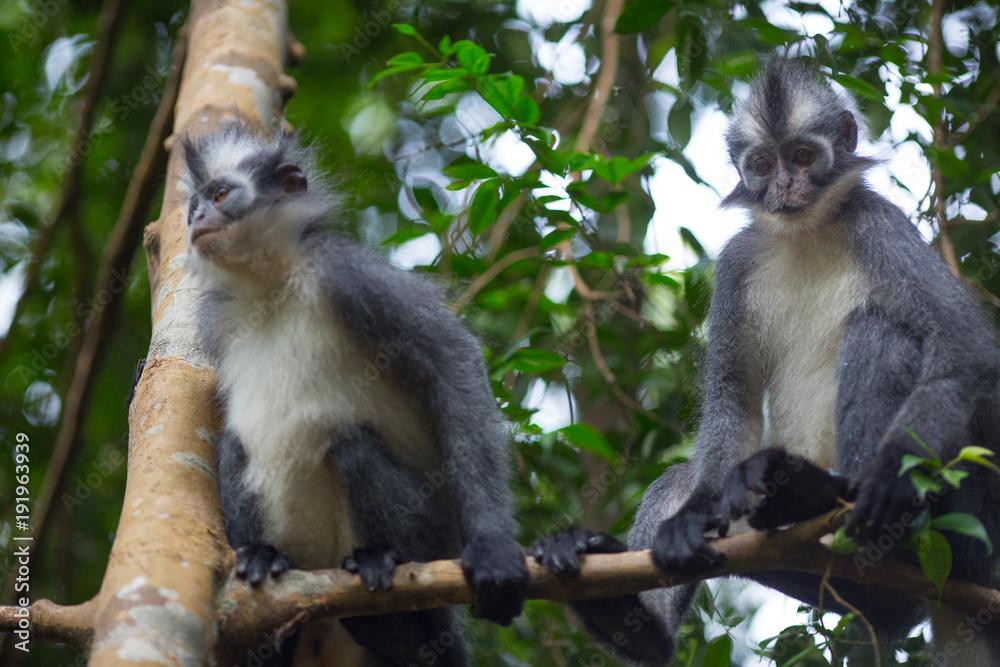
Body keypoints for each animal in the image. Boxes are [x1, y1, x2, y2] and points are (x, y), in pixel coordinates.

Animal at [181, 122, 529, 667]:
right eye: (193, 205)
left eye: (219, 195)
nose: (197, 217)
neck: (273, 284)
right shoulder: (216, 317)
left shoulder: (346, 272)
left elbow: (452, 361)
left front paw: (493, 549)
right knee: (236, 446)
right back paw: (264, 567)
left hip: (431, 538)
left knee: (351, 443)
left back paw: (390, 599)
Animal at [533, 59, 1000, 665]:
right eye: (761, 165)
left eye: (802, 156)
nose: (782, 186)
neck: (805, 232)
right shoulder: (738, 262)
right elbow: (733, 401)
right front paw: (689, 521)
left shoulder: (880, 226)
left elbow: (965, 347)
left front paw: (889, 474)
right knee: (694, 482)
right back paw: (630, 617)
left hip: (967, 526)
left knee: (881, 328)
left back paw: (841, 507)